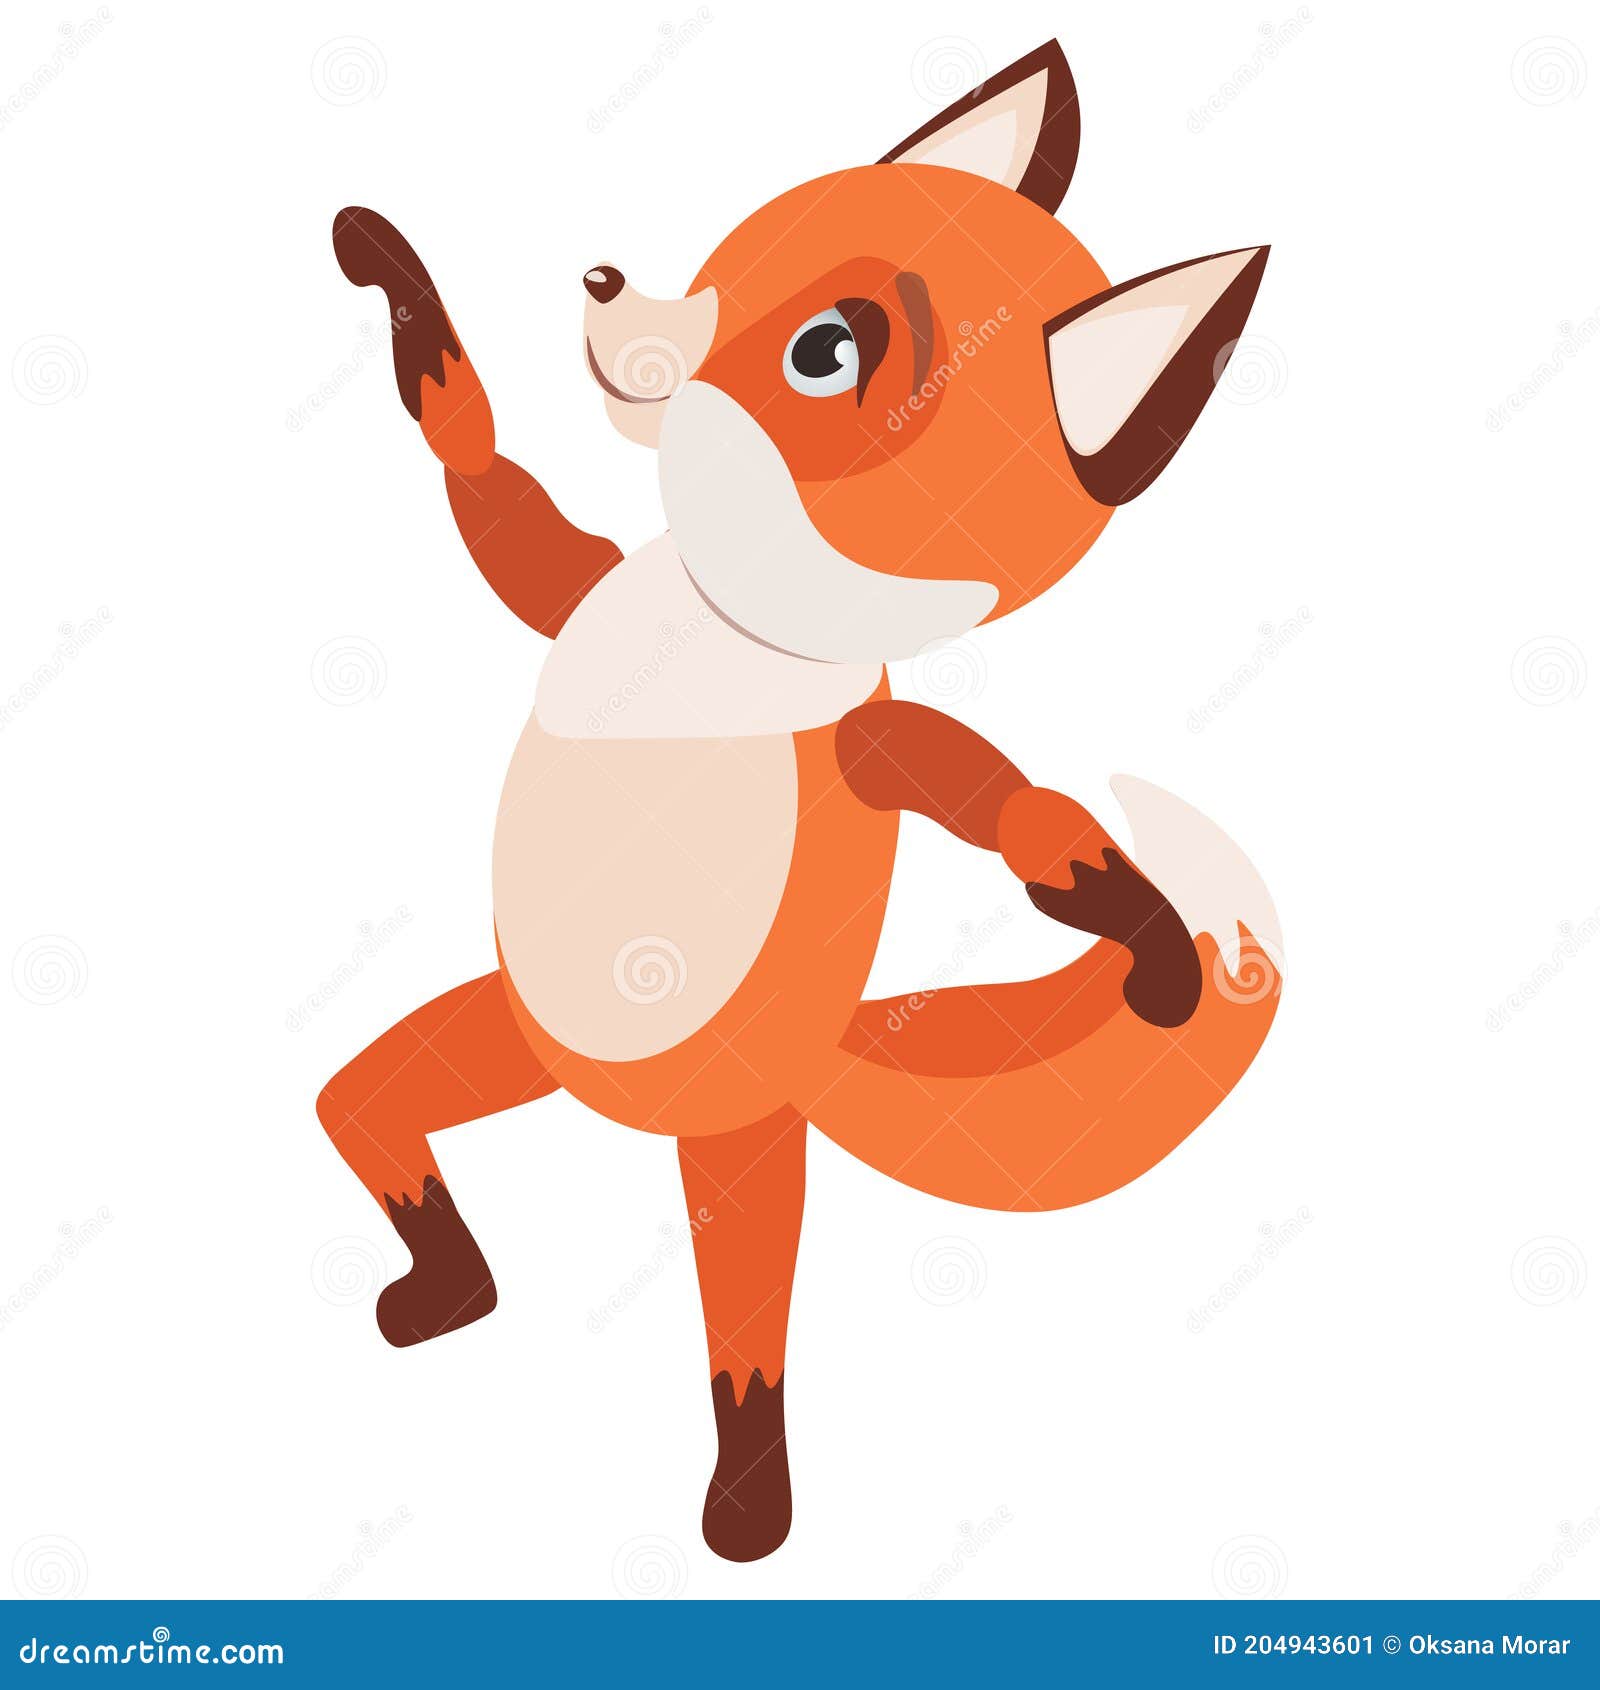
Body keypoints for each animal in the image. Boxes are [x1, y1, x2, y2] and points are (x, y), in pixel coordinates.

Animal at [319, 40, 1281, 1563]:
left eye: (826, 352)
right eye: (742, 251)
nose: (606, 282)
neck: (720, 623)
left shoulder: (868, 742)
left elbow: (1013, 813)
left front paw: (1151, 941)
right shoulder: (569, 588)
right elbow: (486, 488)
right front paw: (398, 282)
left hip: (738, 1154)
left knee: (746, 1333)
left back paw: (747, 1501)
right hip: (495, 1041)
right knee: (367, 1113)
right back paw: (448, 1288)